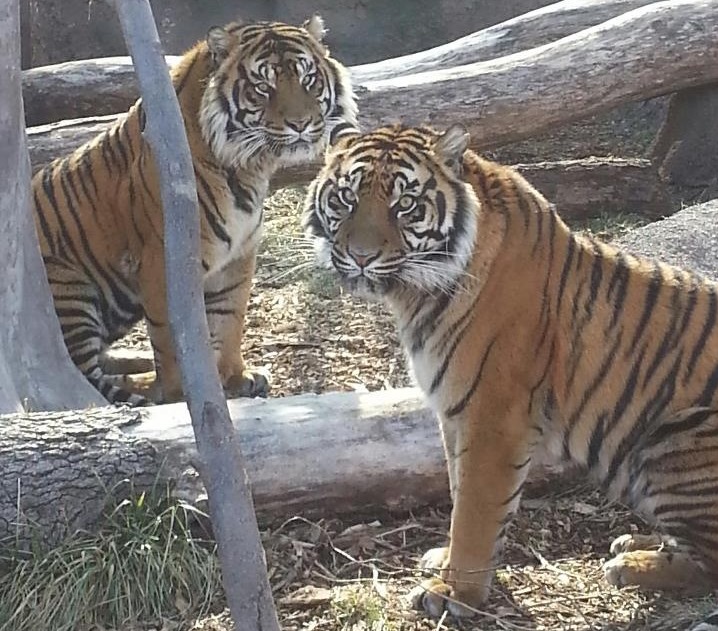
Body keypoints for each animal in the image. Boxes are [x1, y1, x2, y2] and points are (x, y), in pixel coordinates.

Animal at [32, 15, 357, 406]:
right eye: (263, 86)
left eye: (308, 78)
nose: (301, 124)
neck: (247, 167)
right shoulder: (164, 260)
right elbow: (172, 338)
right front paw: (181, 394)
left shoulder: (239, 256)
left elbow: (230, 317)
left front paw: (235, 377)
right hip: (68, 287)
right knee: (87, 375)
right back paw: (144, 384)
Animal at [303, 123, 718, 631]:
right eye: (346, 197)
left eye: (405, 204)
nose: (360, 257)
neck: (417, 294)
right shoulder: (455, 414)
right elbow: (458, 492)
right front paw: (446, 565)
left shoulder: (494, 417)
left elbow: (476, 512)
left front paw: (454, 594)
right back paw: (635, 543)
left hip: (670, 440)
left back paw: (632, 564)